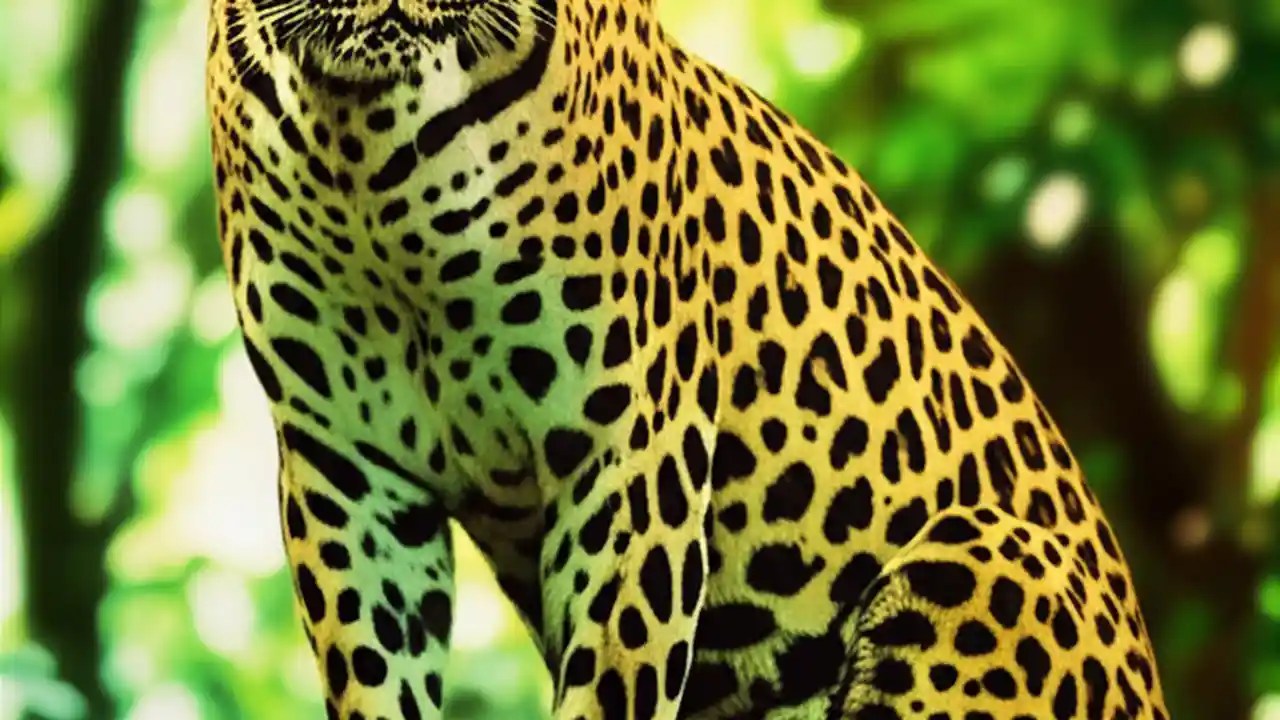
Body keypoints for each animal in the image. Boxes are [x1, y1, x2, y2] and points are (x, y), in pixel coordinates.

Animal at [205, 0, 1170, 718]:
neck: (366, 146)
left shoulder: (631, 447)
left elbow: (613, 683)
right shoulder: (347, 470)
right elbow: (376, 679)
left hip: (983, 553)